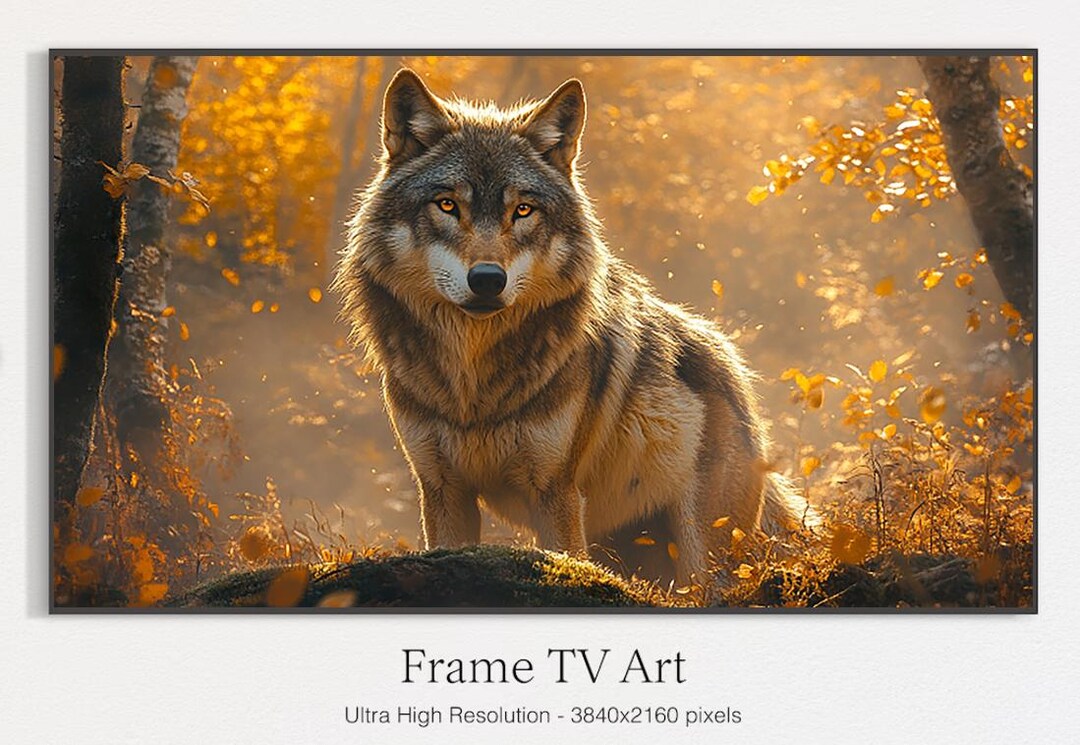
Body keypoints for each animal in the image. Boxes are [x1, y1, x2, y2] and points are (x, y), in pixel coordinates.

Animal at [333, 68, 816, 586]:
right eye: (447, 205)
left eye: (523, 210)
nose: (487, 280)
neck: (473, 386)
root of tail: (734, 373)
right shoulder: (443, 489)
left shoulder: (553, 491)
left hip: (707, 561)